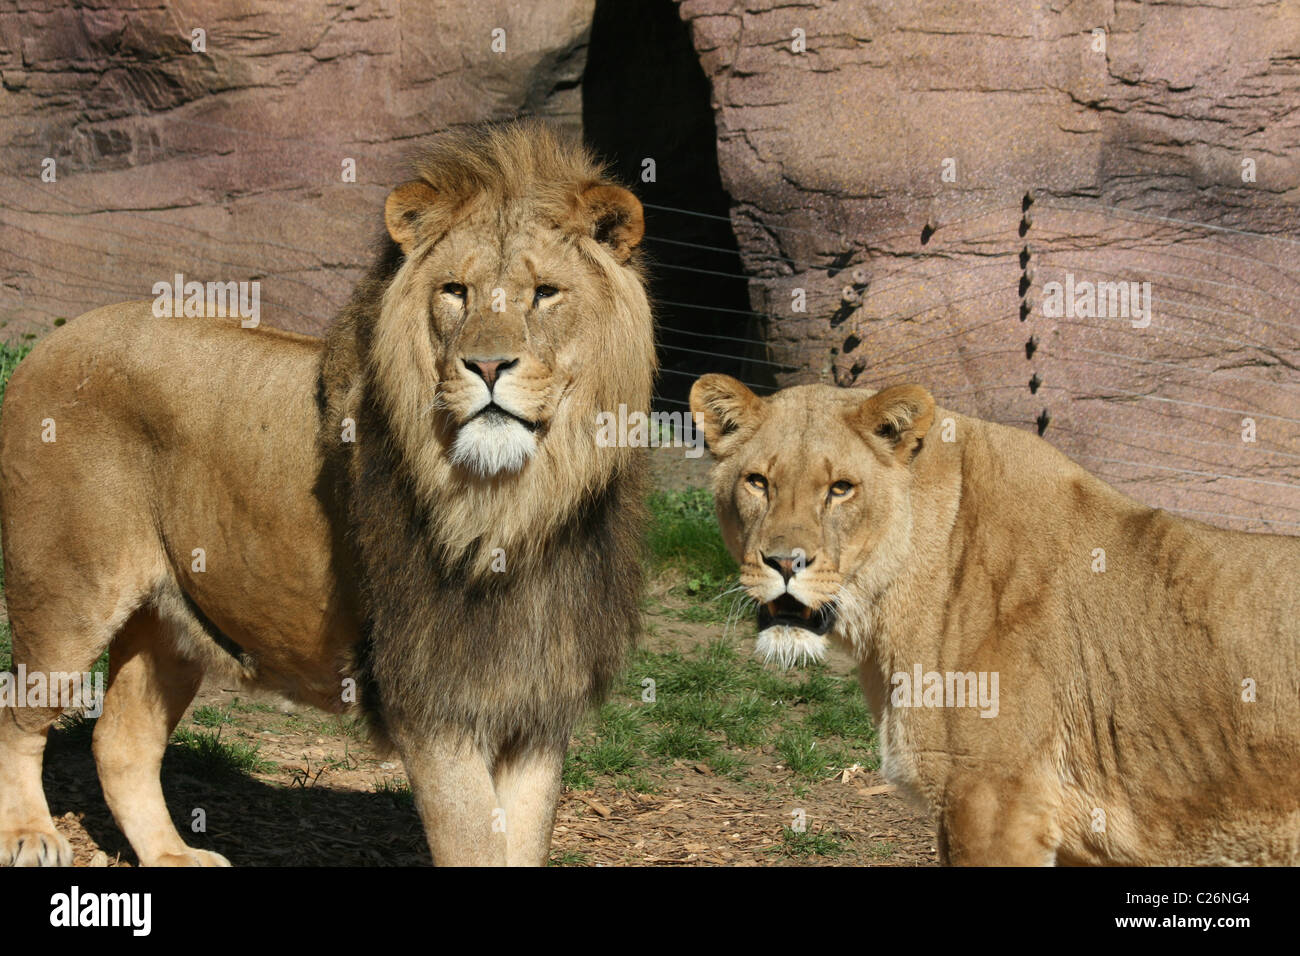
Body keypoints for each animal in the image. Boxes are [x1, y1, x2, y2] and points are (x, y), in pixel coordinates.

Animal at [0, 121, 655, 867]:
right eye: (455, 290)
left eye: (545, 292)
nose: (486, 365)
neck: (519, 504)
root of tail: (48, 343)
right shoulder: (430, 703)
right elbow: (474, 845)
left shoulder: (538, 709)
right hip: (65, 597)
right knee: (17, 715)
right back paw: (29, 836)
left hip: (171, 620)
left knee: (120, 741)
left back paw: (175, 855)